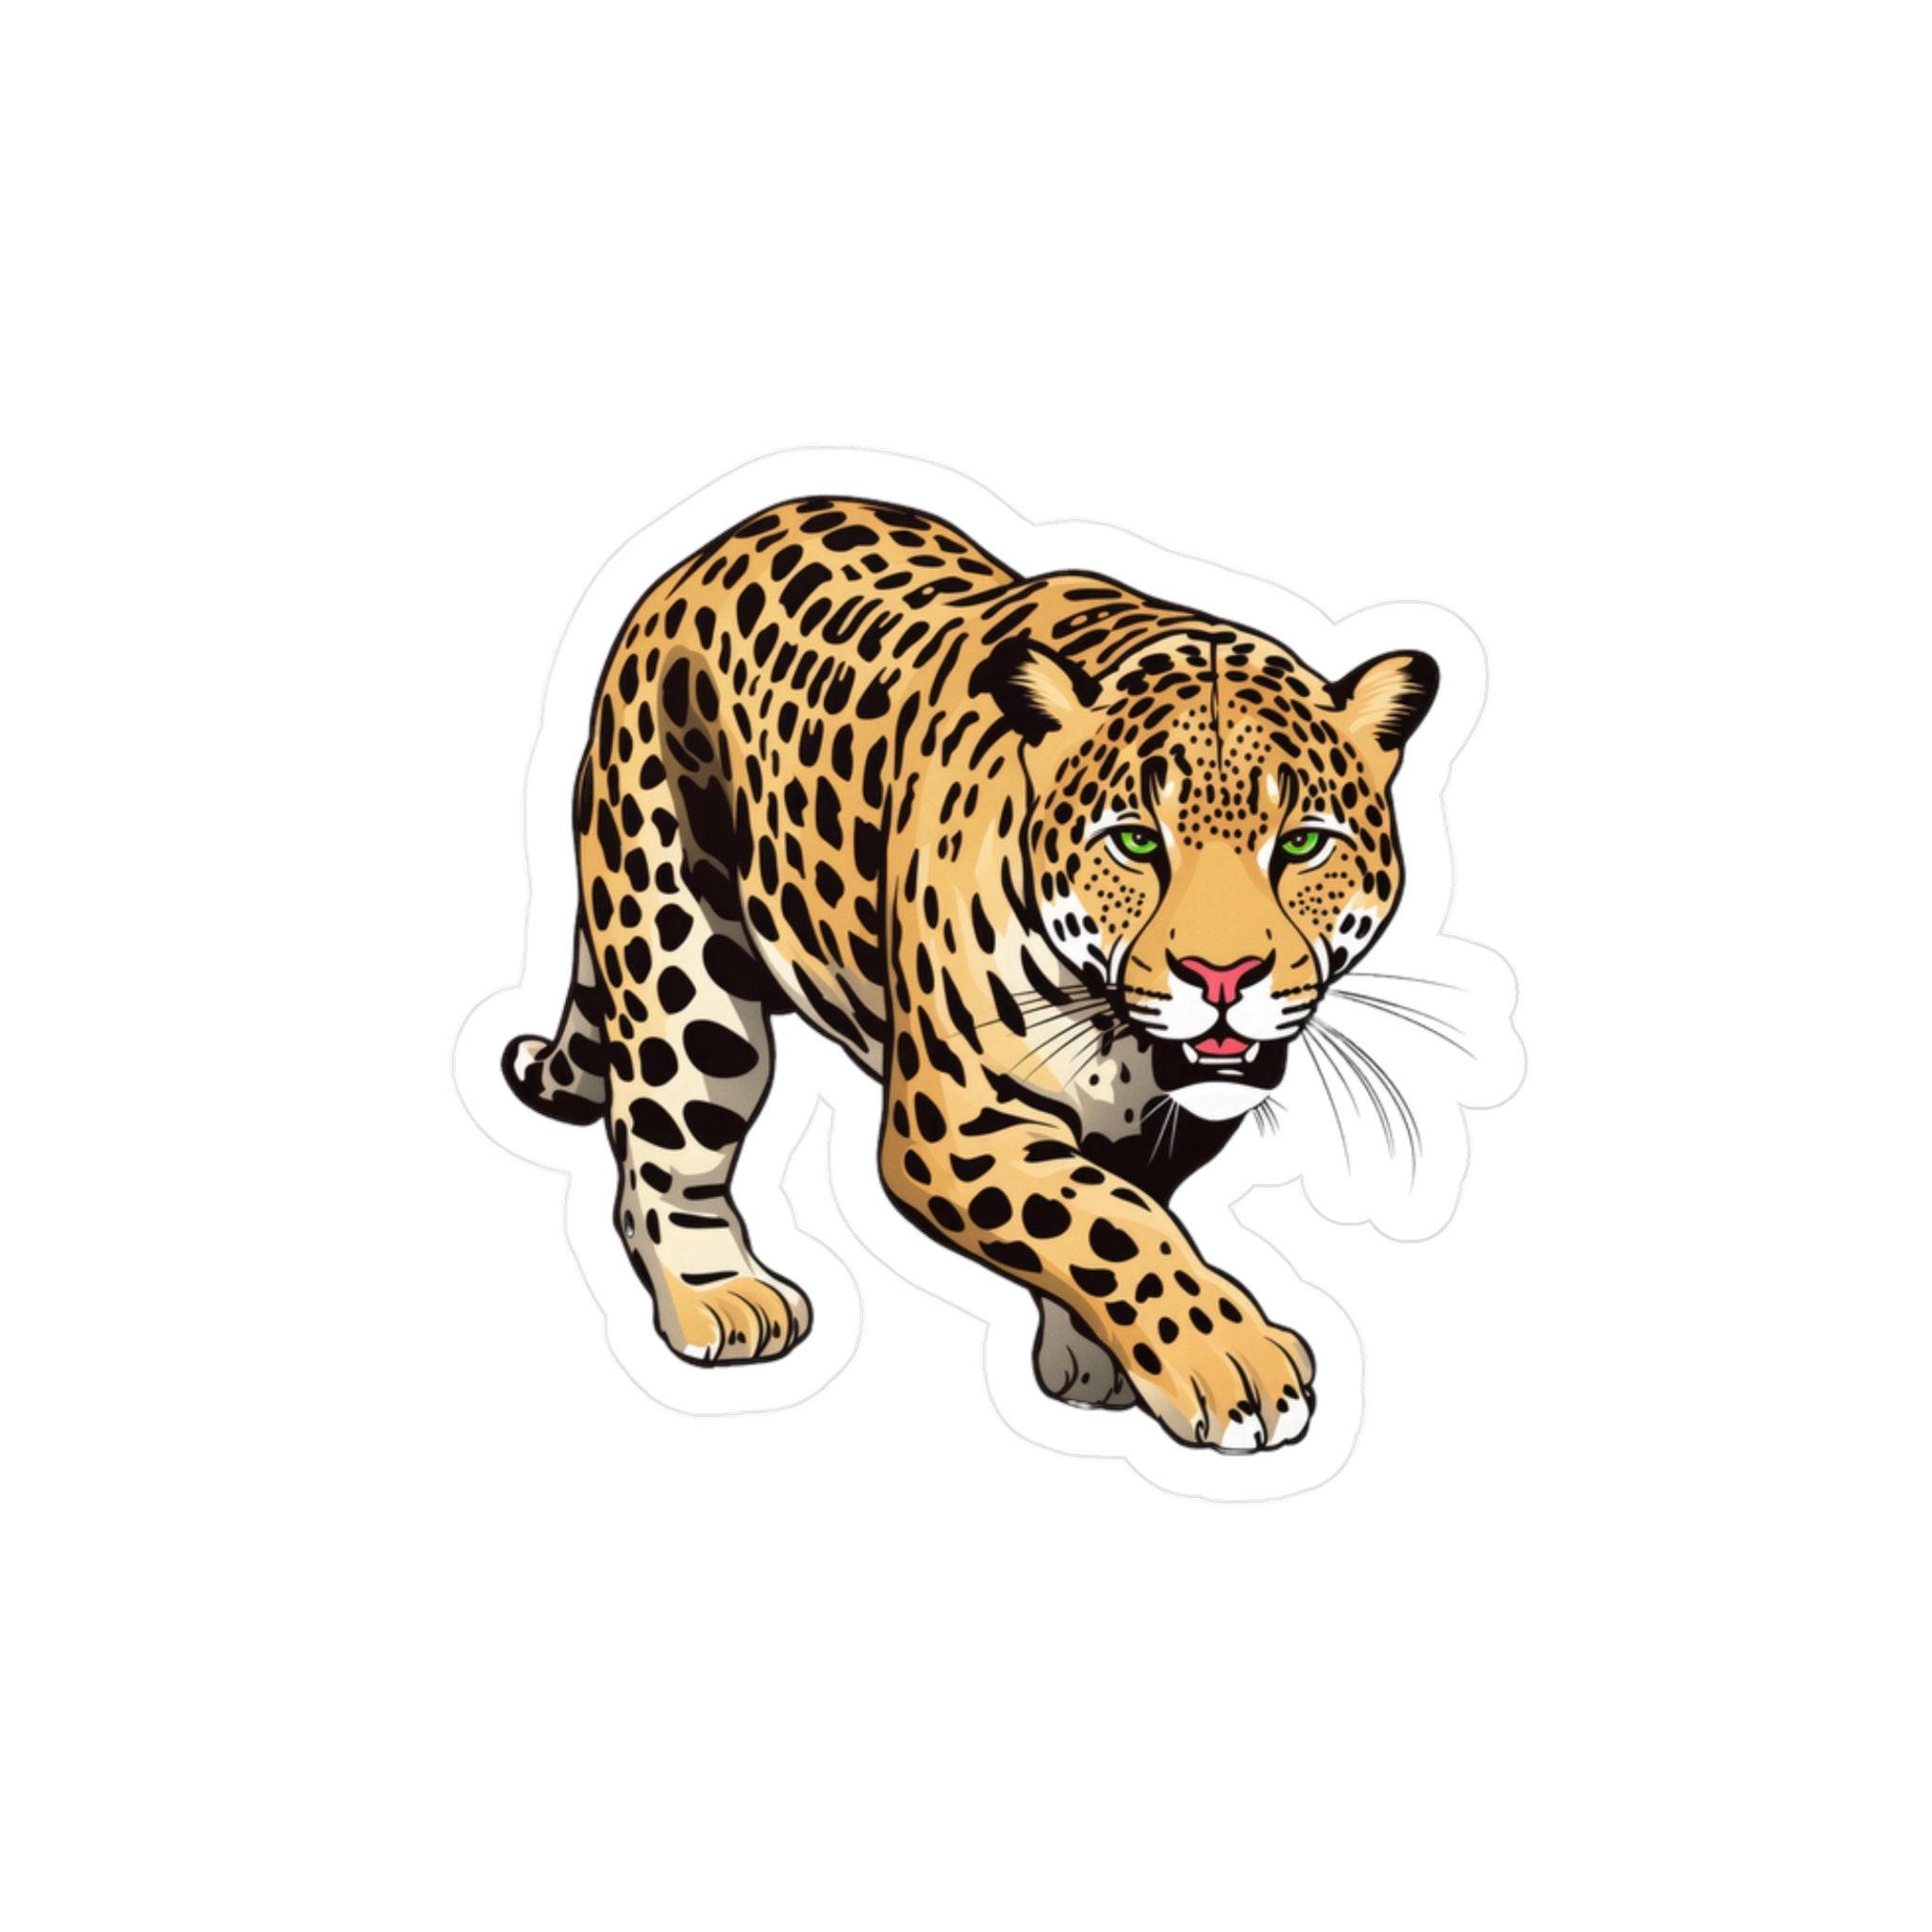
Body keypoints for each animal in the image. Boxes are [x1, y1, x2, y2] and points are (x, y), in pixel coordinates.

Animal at [502, 498, 1437, 1453]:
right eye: (1137, 842)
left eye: (1304, 843)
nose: (1222, 976)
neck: (1124, 1049)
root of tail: (703, 555)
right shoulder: (957, 1120)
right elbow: (1107, 1223)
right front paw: (1230, 1361)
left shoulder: (1156, 1132)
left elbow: (1112, 1208)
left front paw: (1092, 1361)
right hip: (678, 943)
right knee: (666, 1136)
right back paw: (719, 1296)